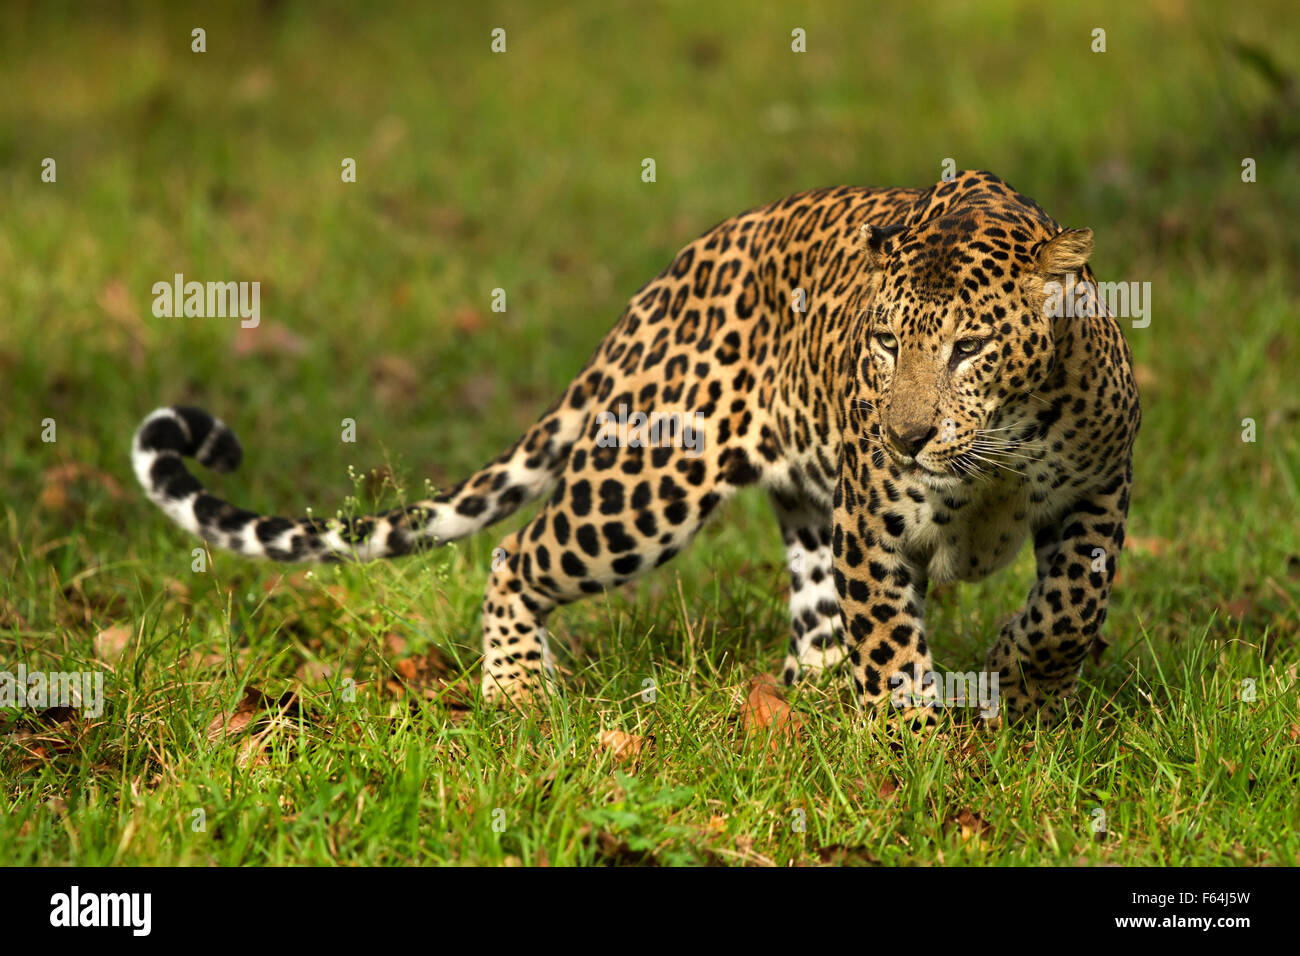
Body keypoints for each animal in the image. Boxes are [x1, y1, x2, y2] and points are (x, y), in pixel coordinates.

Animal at [132, 169, 1140, 726]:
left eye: (970, 348)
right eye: (886, 343)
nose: (906, 434)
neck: (1000, 447)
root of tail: (668, 276)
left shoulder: (1098, 489)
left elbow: (1070, 607)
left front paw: (1015, 670)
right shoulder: (878, 523)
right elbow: (893, 655)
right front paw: (915, 753)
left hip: (802, 506)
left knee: (818, 620)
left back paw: (810, 699)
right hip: (649, 478)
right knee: (514, 553)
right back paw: (517, 695)